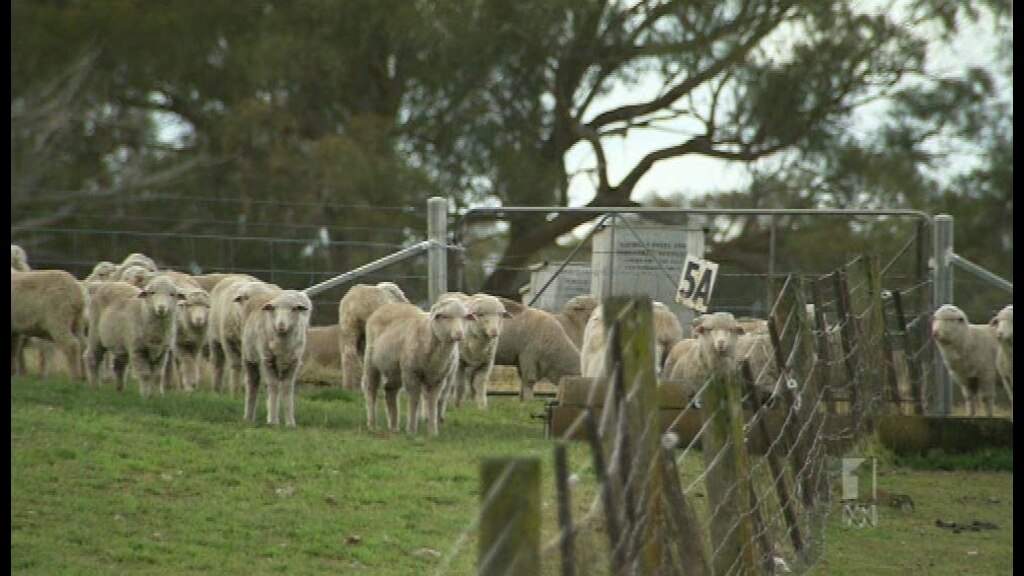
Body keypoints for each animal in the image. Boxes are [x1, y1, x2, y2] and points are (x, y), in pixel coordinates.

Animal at [241, 290, 312, 426]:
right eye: (273, 308)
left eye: (294, 308)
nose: (281, 325)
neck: (282, 344)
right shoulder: (267, 360)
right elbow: (273, 386)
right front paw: (273, 421)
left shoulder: (293, 362)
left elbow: (287, 387)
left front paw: (290, 423)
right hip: (249, 356)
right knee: (253, 383)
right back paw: (248, 417)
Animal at [362, 297, 470, 435]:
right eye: (445, 316)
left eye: (465, 317)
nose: (459, 334)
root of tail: (390, 305)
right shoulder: (412, 373)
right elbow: (415, 399)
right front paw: (412, 430)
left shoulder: (438, 378)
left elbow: (433, 401)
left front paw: (433, 432)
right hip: (371, 360)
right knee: (370, 388)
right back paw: (372, 424)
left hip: (396, 369)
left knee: (390, 390)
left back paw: (394, 427)